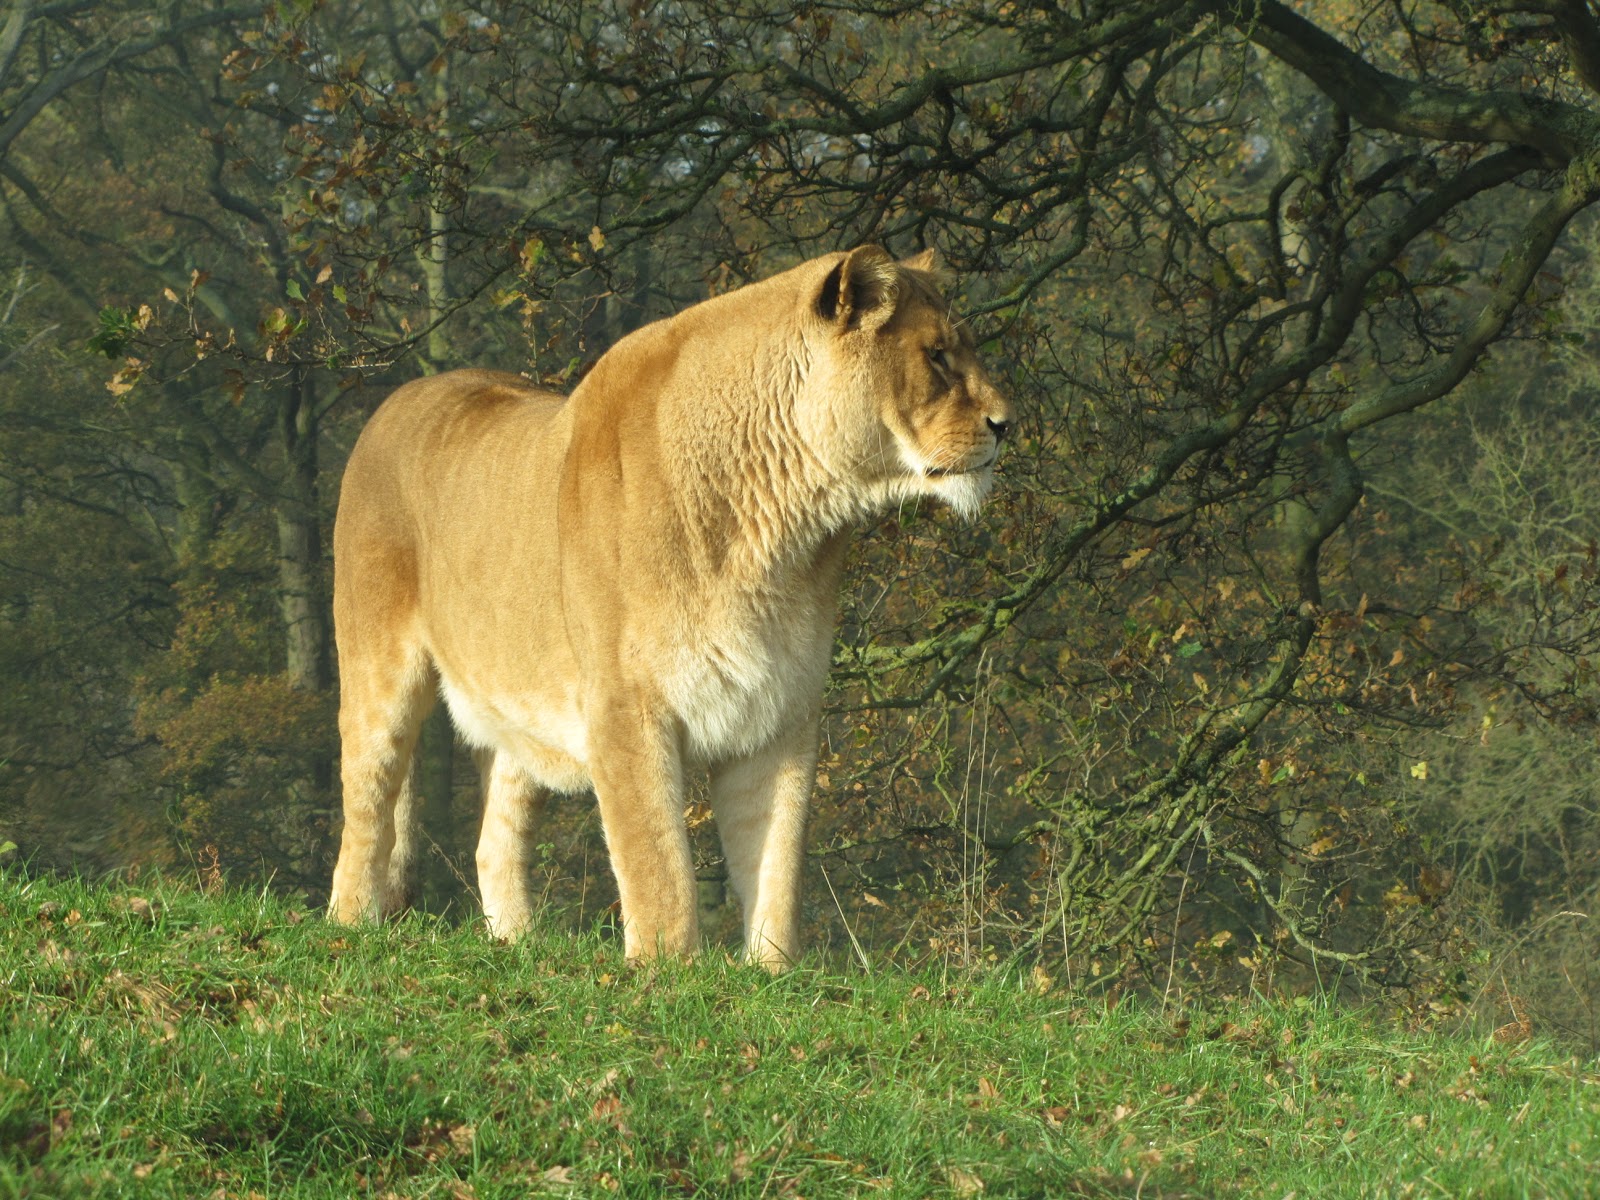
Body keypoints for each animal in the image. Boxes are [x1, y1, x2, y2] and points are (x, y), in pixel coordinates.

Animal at [327, 246, 1013, 968]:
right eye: (937, 356)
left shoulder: (781, 712)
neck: (781, 529)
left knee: (493, 843)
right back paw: (350, 929)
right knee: (366, 812)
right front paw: (666, 972)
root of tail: (398, 396)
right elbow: (659, 862)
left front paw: (773, 972)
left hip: (519, 708)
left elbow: (775, 860)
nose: (1008, 423)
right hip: (379, 675)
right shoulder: (626, 707)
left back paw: (518, 948)